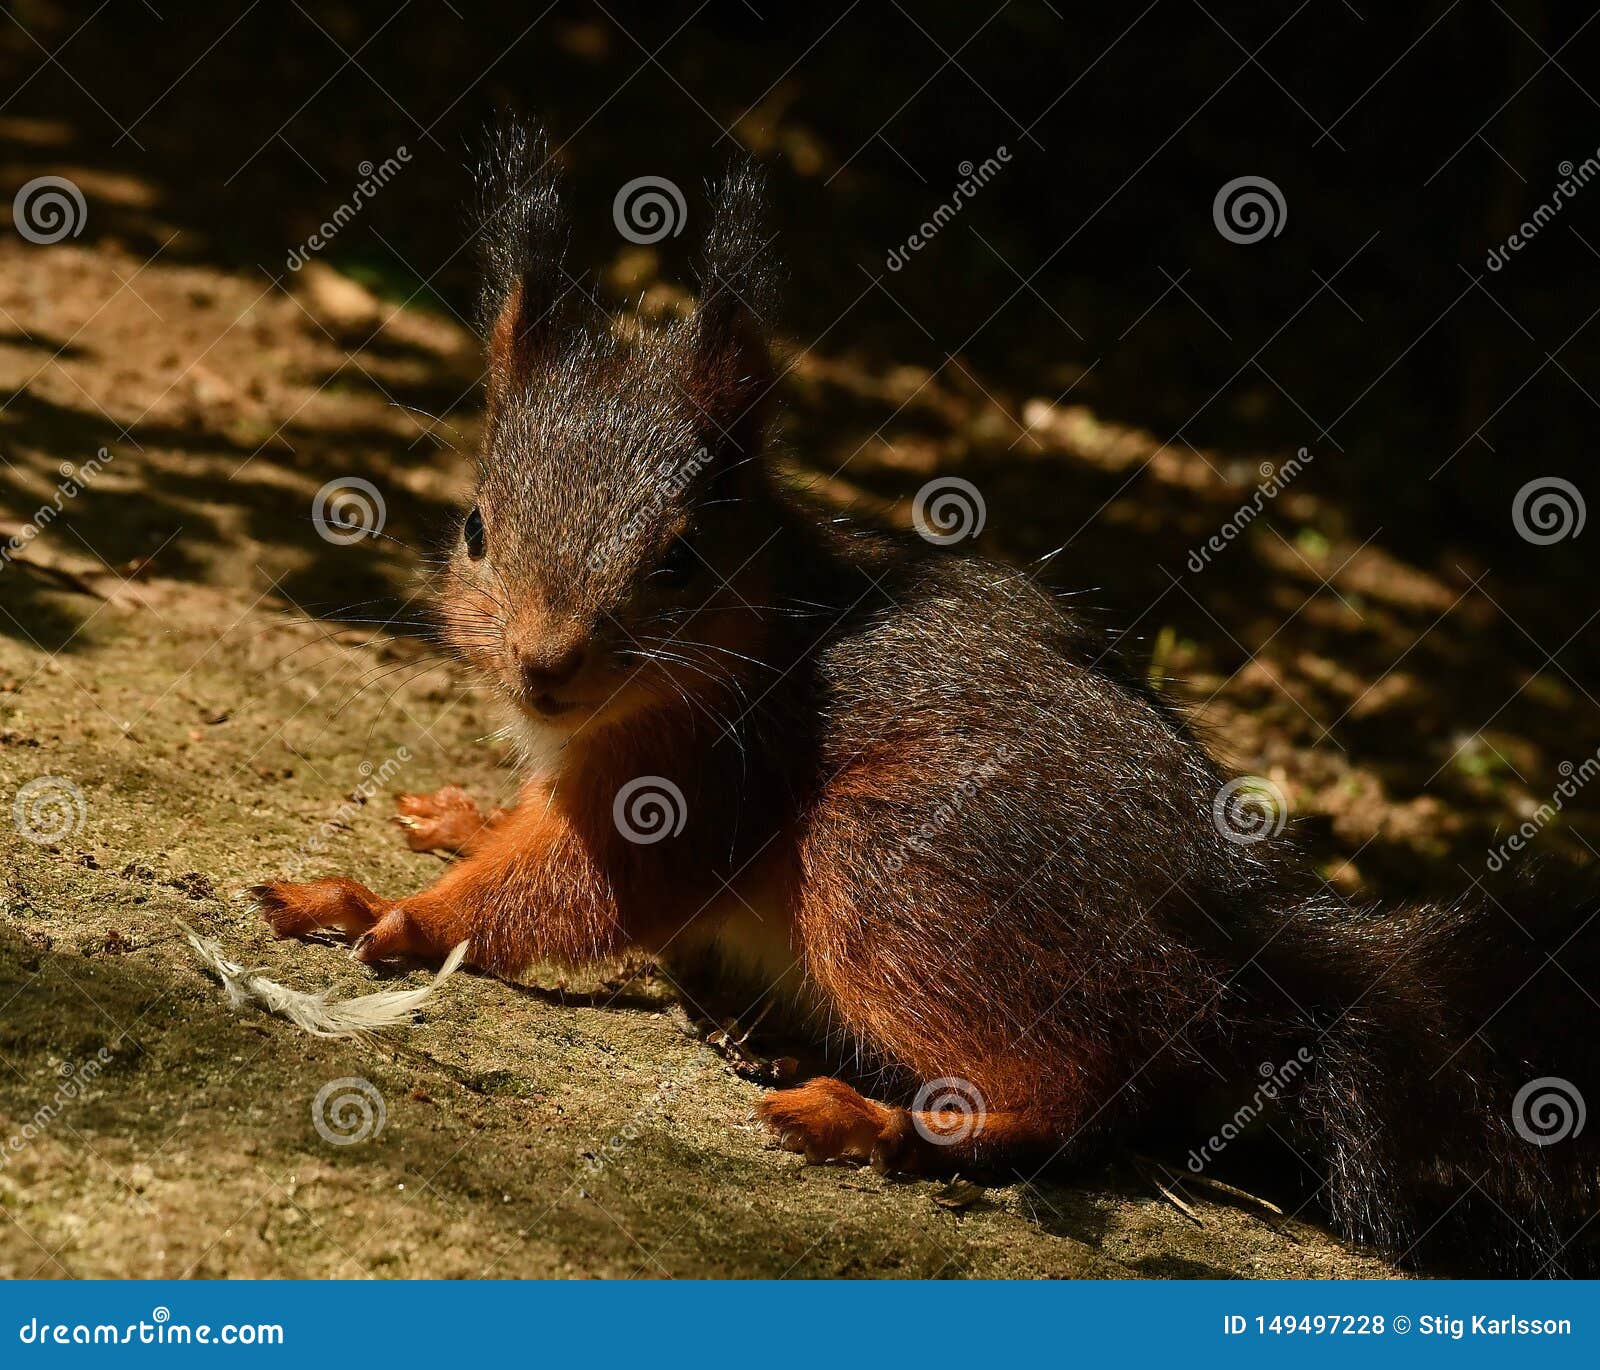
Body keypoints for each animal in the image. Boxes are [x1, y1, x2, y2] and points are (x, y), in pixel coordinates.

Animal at [253, 116, 1600, 1276]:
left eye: (682, 559)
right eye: (475, 528)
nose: (545, 663)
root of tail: (1240, 942)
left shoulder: (699, 785)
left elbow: (574, 892)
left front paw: (384, 909)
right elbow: (527, 833)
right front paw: (459, 816)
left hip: (899, 863)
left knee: (1074, 1094)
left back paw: (875, 1121)